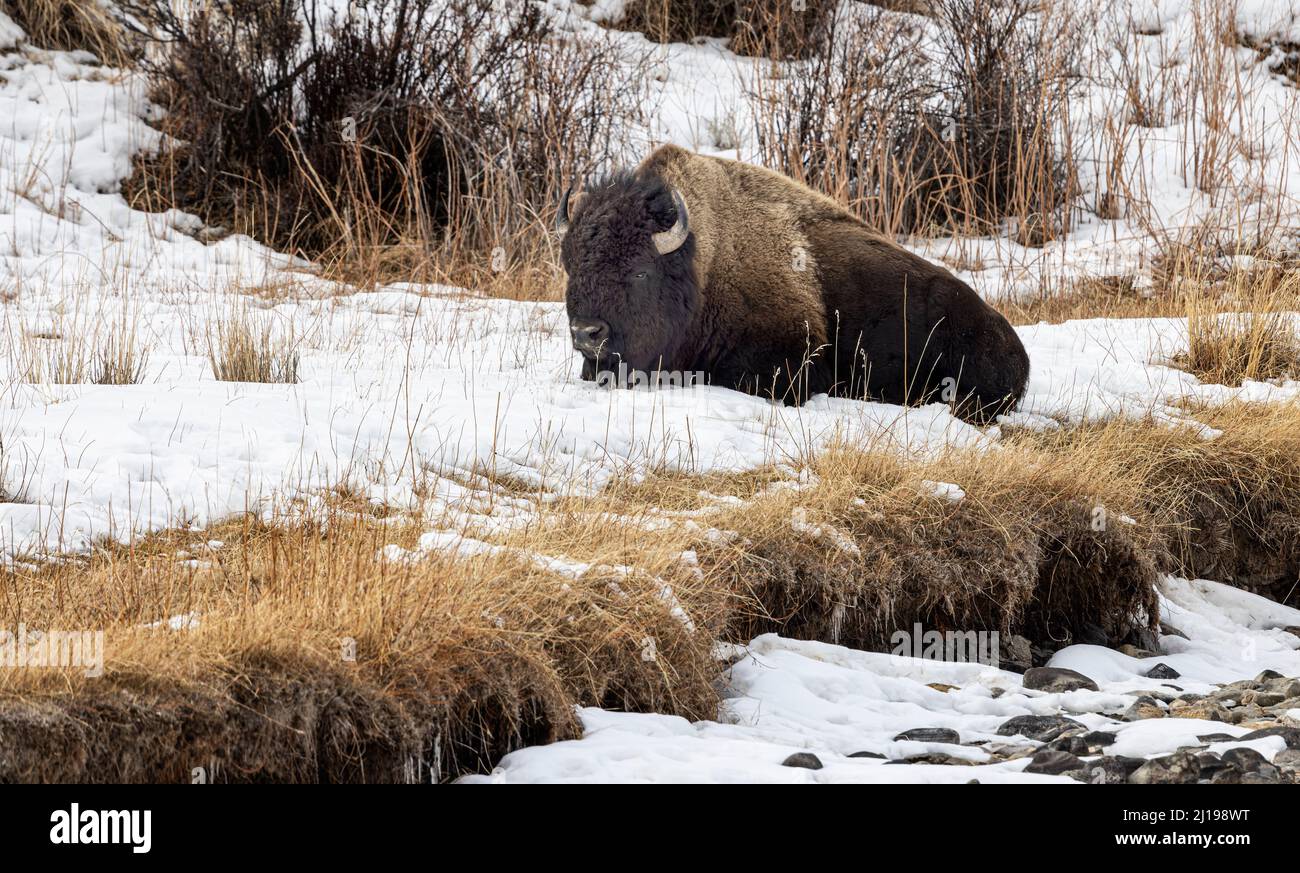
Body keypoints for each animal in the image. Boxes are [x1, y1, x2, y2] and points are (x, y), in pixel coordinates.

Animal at [557, 144, 1030, 421]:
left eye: (640, 270)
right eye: (570, 265)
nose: (586, 333)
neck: (703, 261)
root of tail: (1013, 346)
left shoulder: (790, 363)